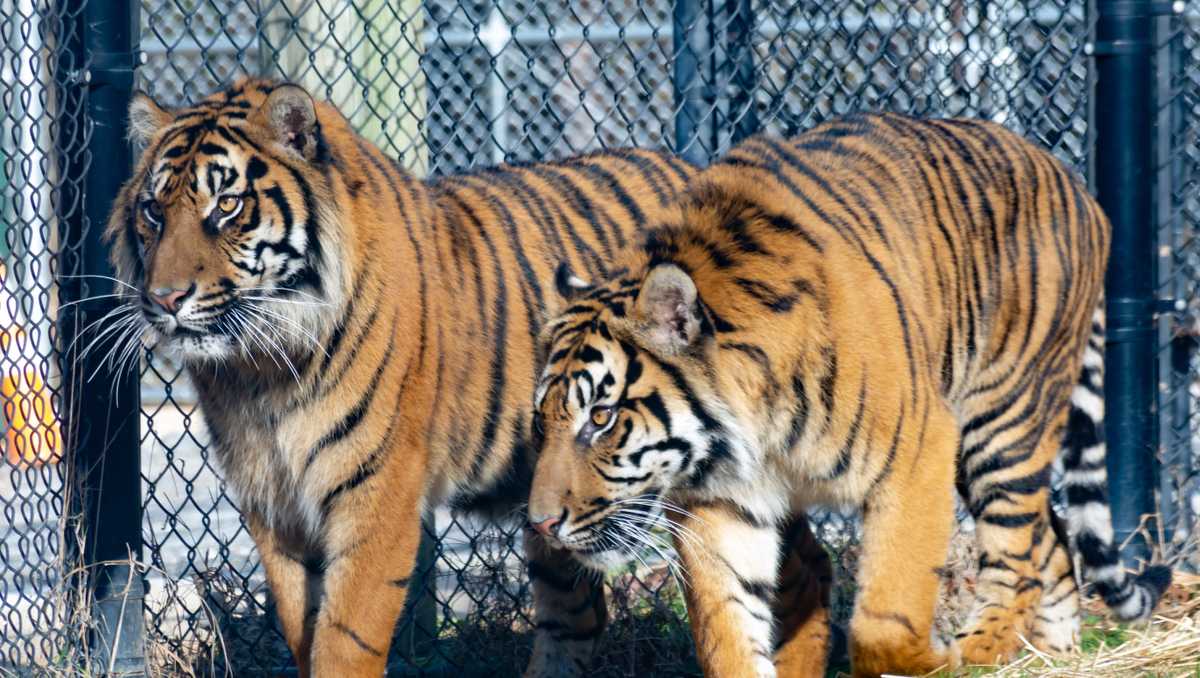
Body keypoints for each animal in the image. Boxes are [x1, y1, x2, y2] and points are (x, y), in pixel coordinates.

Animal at [102, 77, 695, 676]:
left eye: (227, 205)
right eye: (153, 211)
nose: (165, 299)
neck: (260, 368)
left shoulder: (375, 496)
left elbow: (344, 642)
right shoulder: (274, 506)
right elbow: (303, 631)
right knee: (576, 619)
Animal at [526, 112, 1172, 678]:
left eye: (601, 417)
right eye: (543, 422)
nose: (540, 526)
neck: (751, 431)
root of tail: (1075, 182)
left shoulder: (918, 453)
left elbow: (887, 613)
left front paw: (931, 660)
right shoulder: (723, 502)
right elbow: (727, 632)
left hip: (1002, 422)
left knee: (1016, 553)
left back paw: (980, 650)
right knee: (1052, 540)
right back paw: (1055, 655)